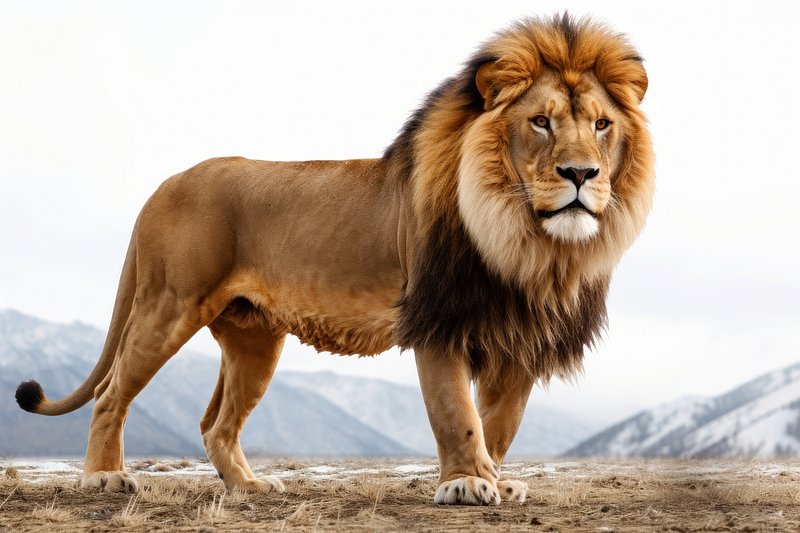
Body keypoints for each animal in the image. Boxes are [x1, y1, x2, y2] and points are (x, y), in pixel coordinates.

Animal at [15, 14, 653, 505]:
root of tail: (163, 184)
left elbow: (501, 422)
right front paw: (468, 484)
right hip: (167, 306)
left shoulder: (521, 335)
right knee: (111, 394)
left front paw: (495, 479)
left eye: (602, 124)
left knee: (215, 424)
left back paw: (249, 488)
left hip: (254, 340)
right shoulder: (436, 321)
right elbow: (458, 412)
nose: (581, 174)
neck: (528, 245)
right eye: (540, 121)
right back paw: (104, 478)